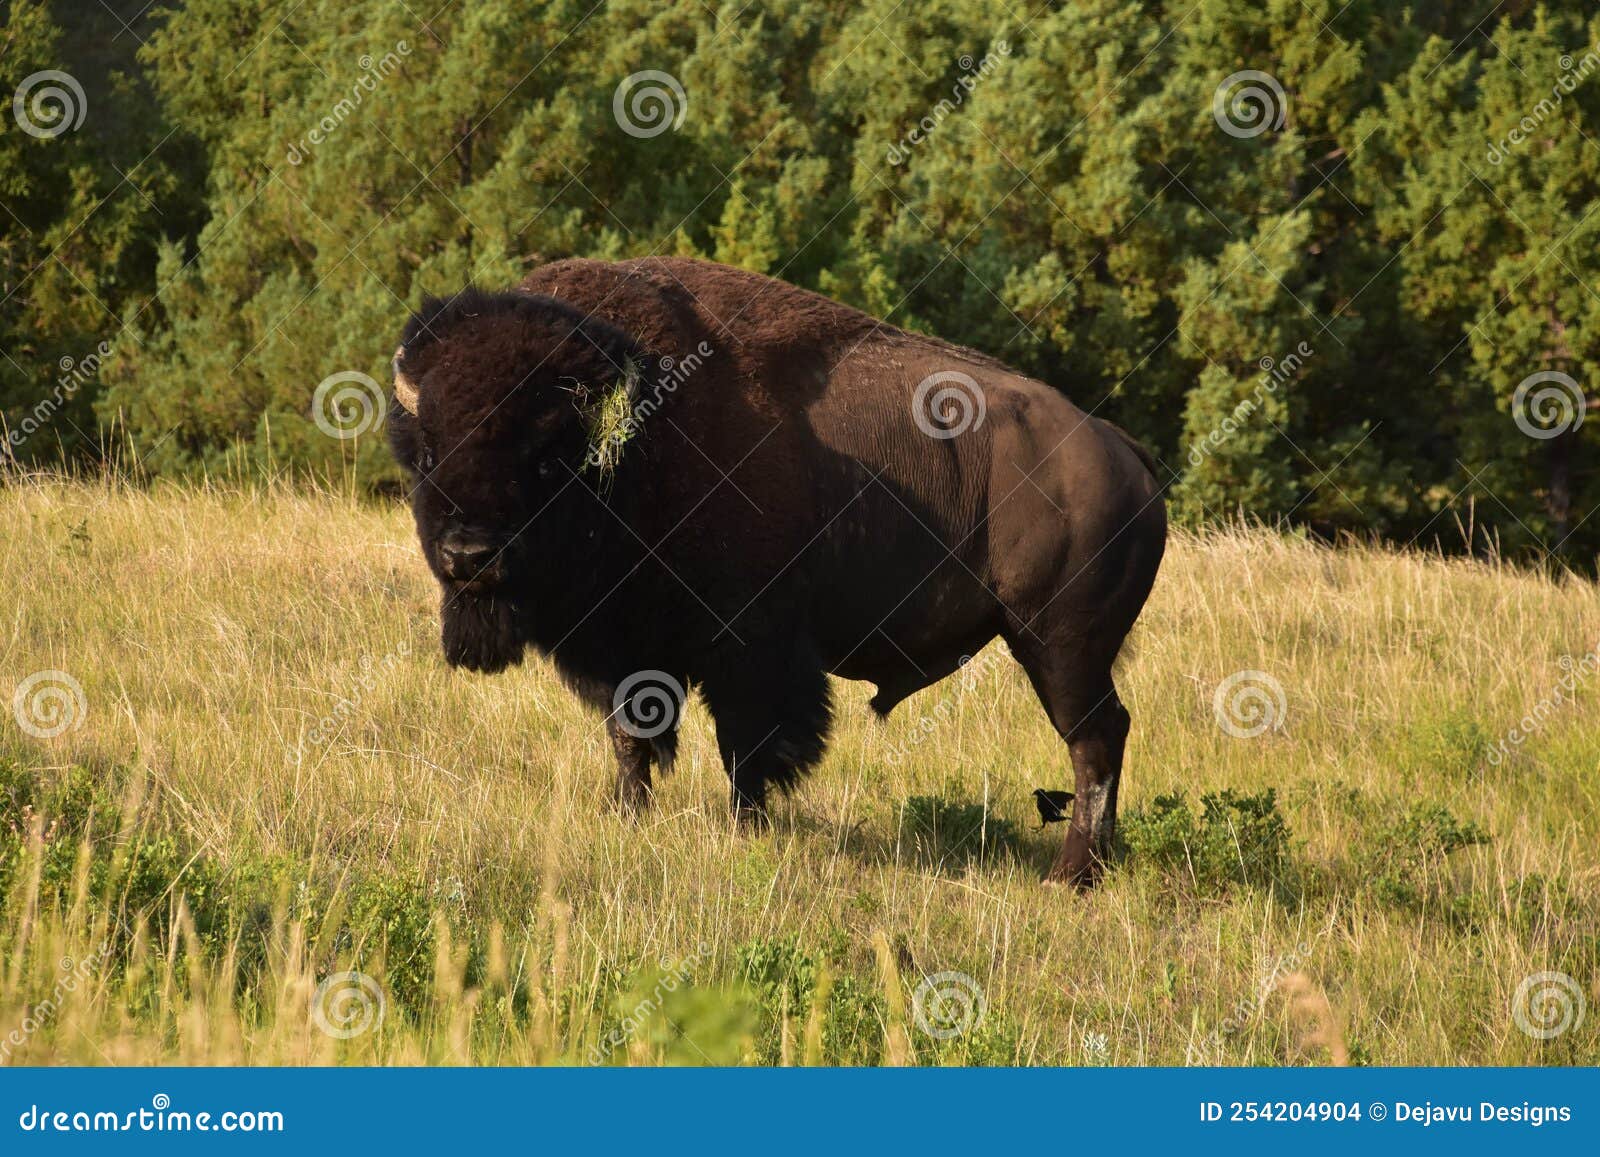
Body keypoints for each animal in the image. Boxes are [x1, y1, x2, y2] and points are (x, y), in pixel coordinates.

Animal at [387, 257, 1165, 886]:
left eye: (546, 455)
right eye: (426, 451)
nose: (468, 557)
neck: (639, 436)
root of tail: (1122, 450)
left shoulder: (752, 650)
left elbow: (749, 746)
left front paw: (745, 830)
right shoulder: (625, 651)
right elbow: (632, 737)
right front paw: (625, 815)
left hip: (1058, 645)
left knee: (1094, 739)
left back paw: (1069, 876)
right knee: (1106, 735)